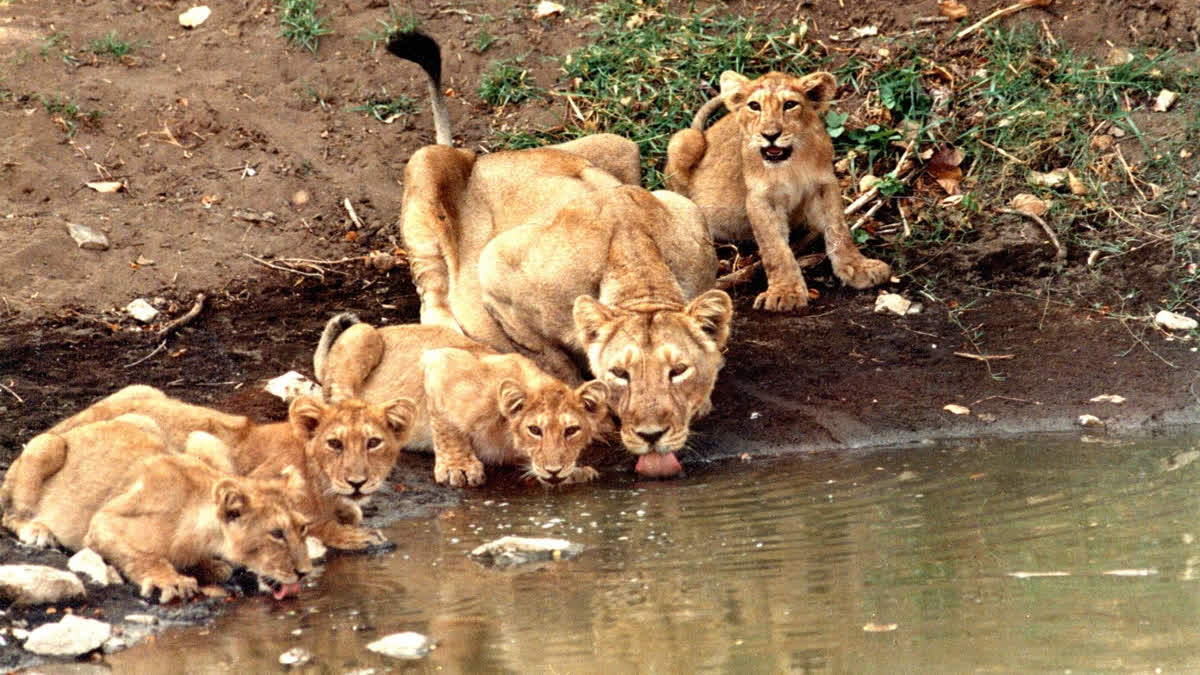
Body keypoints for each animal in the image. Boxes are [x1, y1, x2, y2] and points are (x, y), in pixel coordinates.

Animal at [0, 418, 312, 603]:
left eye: (303, 527)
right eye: (276, 533)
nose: (305, 573)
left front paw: (211, 566)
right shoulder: (105, 521)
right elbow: (144, 555)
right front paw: (169, 580)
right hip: (46, 445)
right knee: (9, 513)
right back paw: (37, 530)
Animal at [40, 385, 415, 551]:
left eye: (374, 443)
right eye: (334, 444)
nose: (357, 482)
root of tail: (61, 426)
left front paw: (350, 513)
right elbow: (311, 523)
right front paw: (356, 535)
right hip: (193, 438)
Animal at [314, 314, 610, 487]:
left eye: (572, 430)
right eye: (534, 430)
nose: (554, 471)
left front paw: (574, 472)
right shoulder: (441, 362)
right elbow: (448, 426)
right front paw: (460, 468)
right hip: (364, 333)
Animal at [389, 32, 733, 478]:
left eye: (678, 371)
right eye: (620, 374)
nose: (652, 435)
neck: (636, 258)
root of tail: (479, 156)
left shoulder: (688, 217)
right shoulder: (498, 269)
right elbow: (555, 361)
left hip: (619, 146)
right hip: (424, 166)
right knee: (431, 290)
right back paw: (448, 325)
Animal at [665, 70, 891, 312]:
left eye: (790, 104)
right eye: (754, 106)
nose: (770, 135)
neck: (790, 164)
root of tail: (704, 132)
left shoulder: (824, 184)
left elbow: (838, 229)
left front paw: (858, 267)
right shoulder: (760, 197)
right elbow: (774, 247)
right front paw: (785, 292)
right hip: (684, 141)